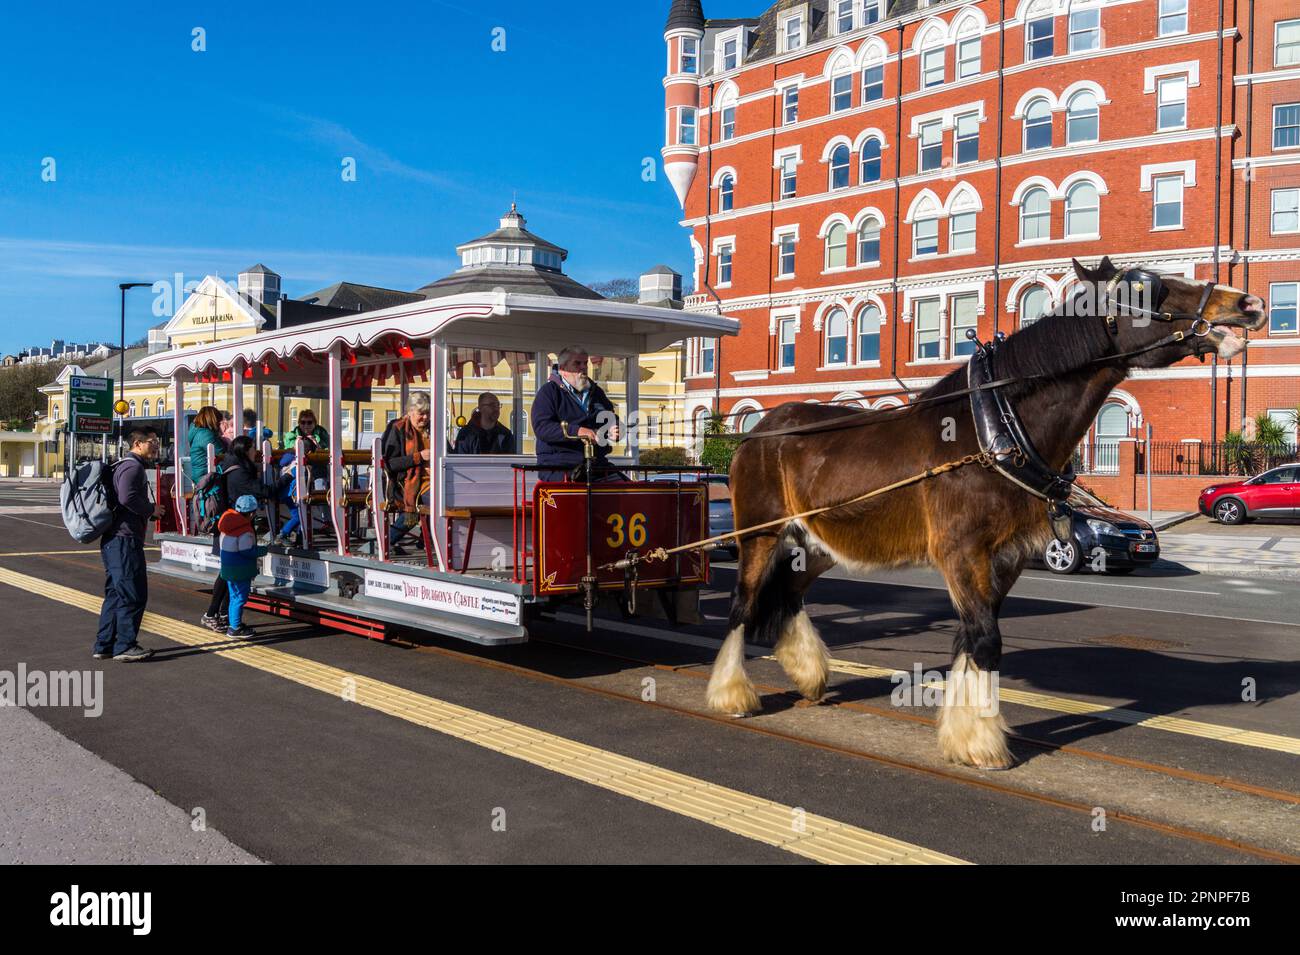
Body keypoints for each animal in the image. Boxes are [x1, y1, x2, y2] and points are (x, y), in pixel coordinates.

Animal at [710, 257, 1267, 769]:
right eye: (1148, 286)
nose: (1249, 303)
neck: (992, 433)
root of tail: (760, 430)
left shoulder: (1006, 557)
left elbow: (973, 639)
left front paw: (964, 731)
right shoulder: (961, 553)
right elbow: (984, 639)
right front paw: (981, 742)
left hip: (817, 543)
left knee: (787, 597)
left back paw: (809, 676)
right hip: (759, 535)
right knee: (742, 604)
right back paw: (732, 693)